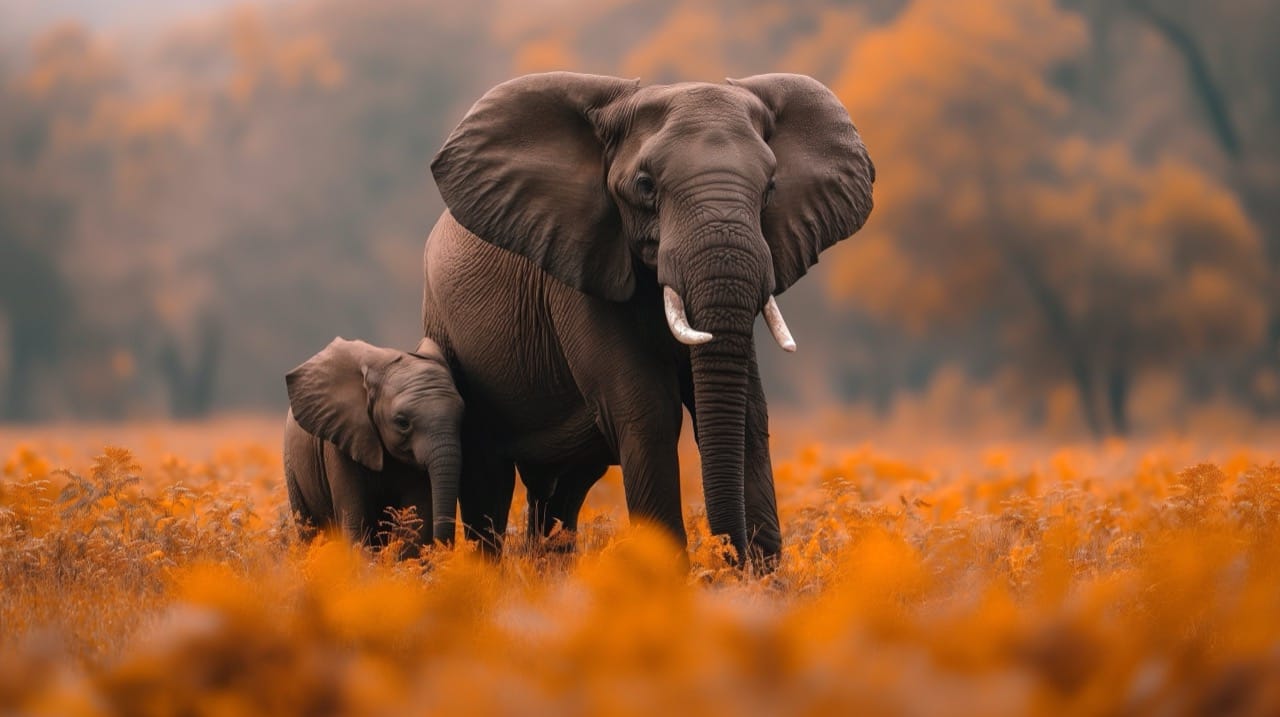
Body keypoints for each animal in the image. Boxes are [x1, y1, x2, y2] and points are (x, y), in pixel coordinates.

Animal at [421, 72, 873, 565]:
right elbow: (648, 410)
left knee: (564, 489)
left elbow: (752, 413)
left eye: (772, 187)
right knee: (489, 480)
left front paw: (763, 577)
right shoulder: (578, 268)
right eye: (645, 185)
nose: (726, 557)